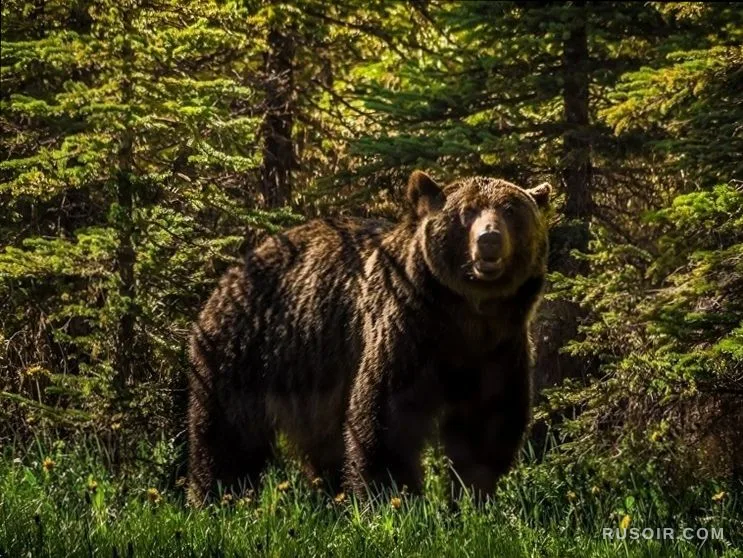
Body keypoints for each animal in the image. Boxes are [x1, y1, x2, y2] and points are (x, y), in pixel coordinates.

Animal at [187, 170, 550, 505]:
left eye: (510, 210)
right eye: (467, 211)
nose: (489, 239)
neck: (465, 316)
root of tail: (231, 272)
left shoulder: (498, 348)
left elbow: (485, 421)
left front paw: (472, 495)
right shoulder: (405, 331)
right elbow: (385, 415)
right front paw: (392, 497)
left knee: (321, 440)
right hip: (244, 348)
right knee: (227, 433)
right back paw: (217, 495)